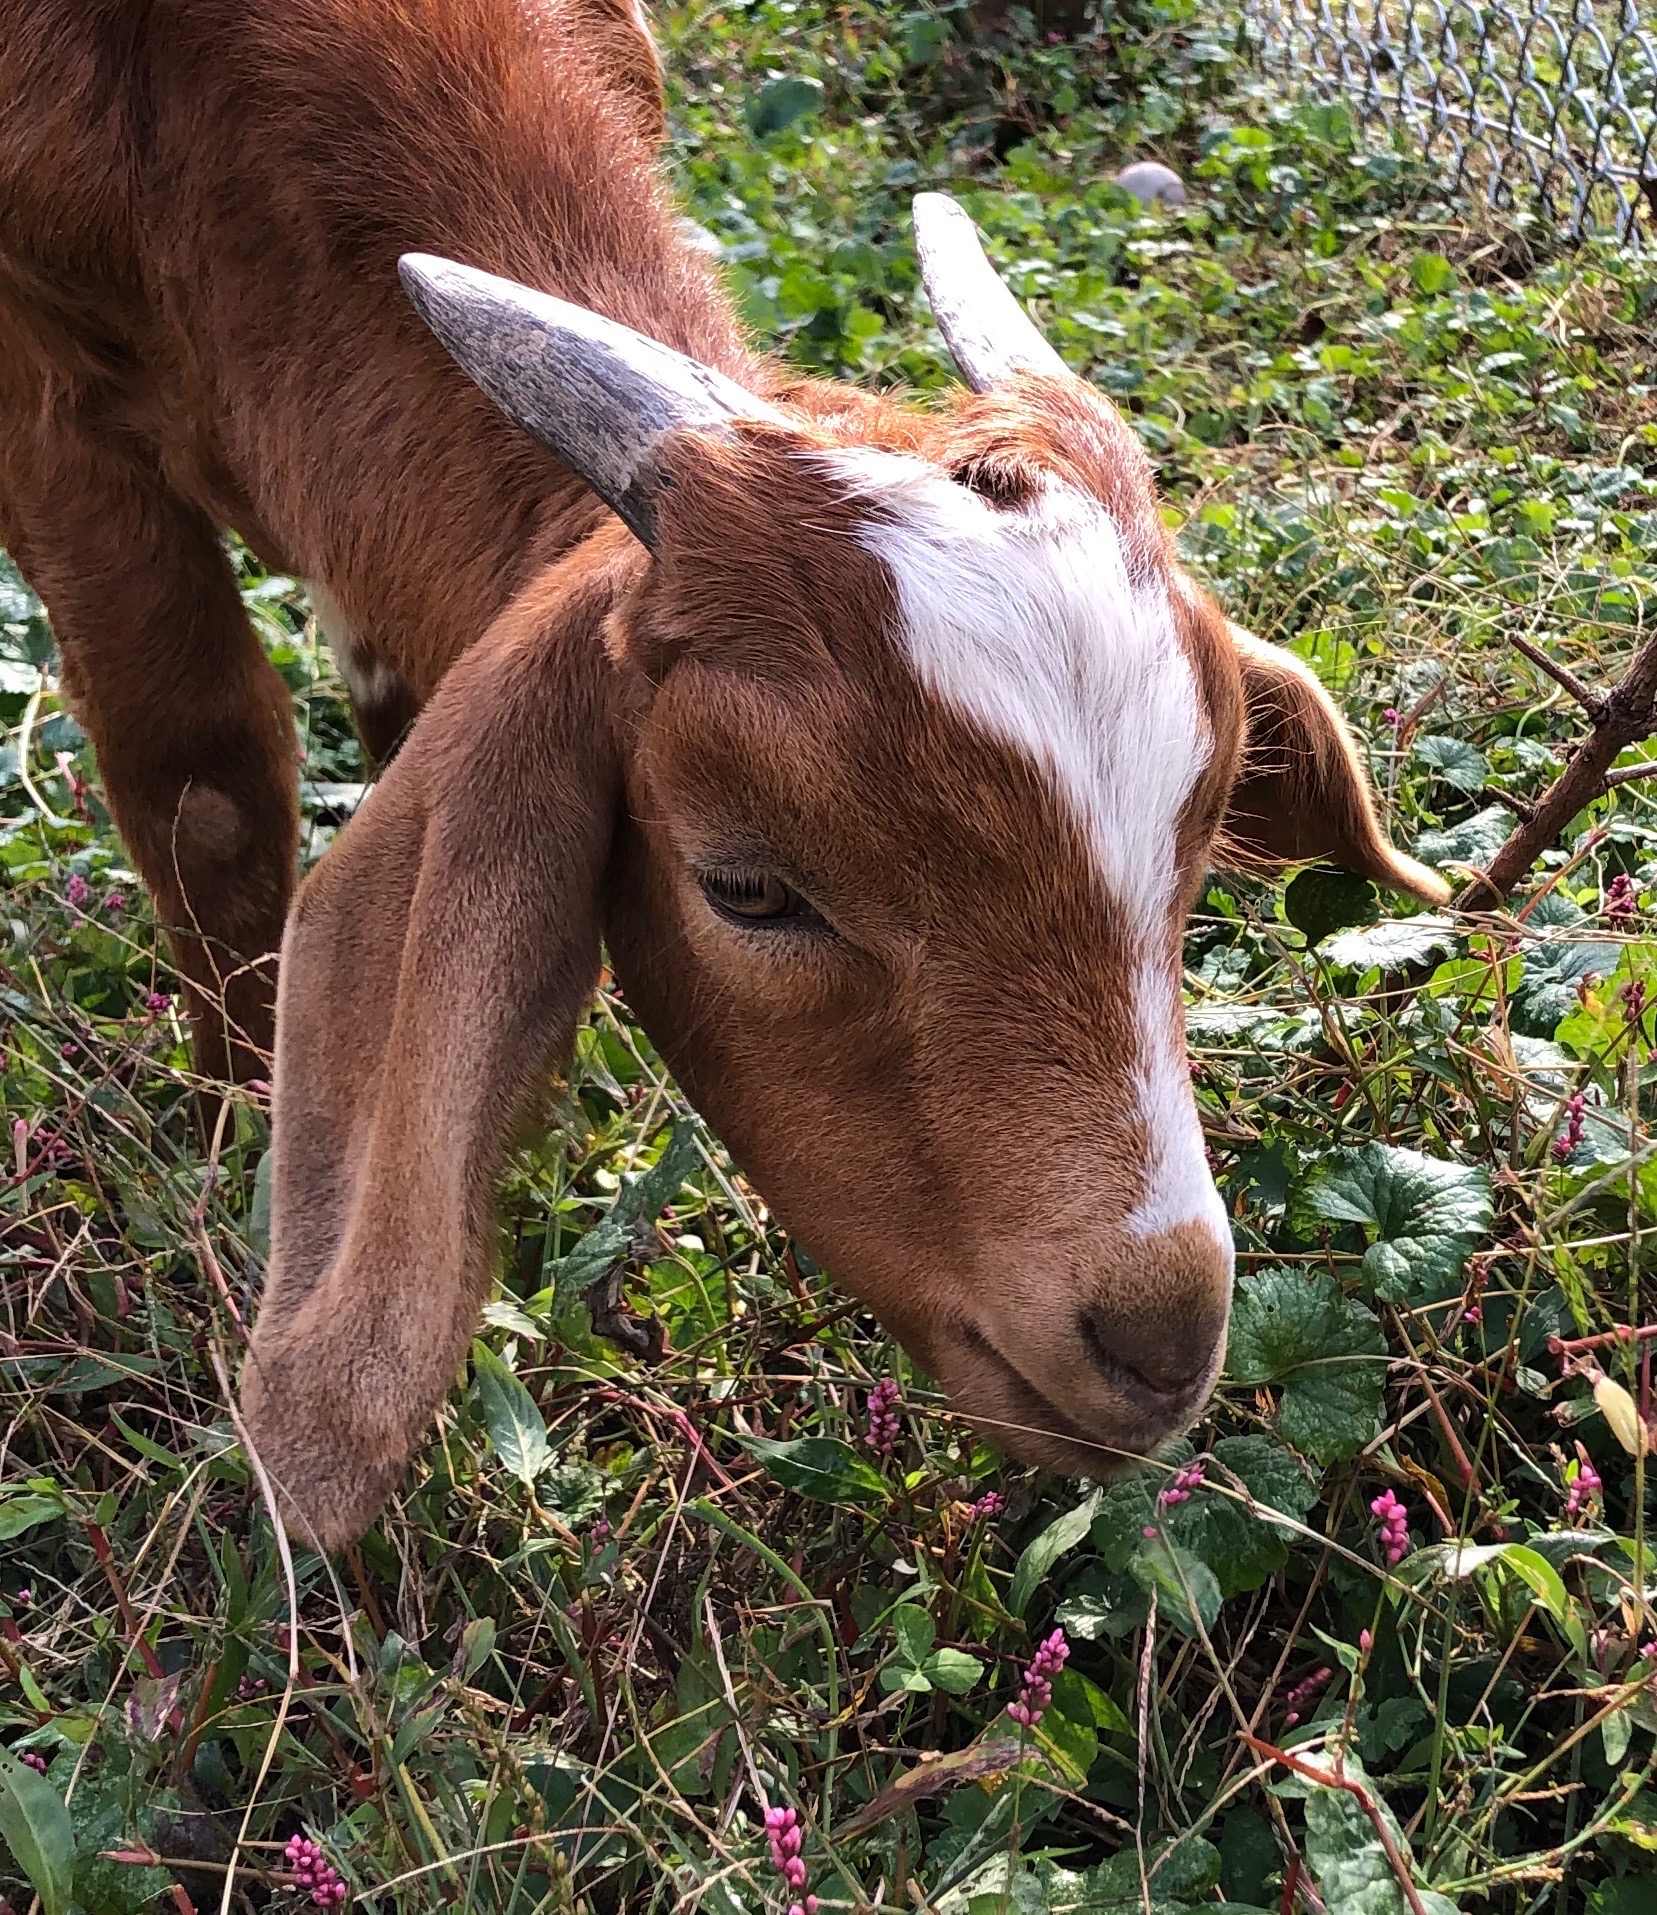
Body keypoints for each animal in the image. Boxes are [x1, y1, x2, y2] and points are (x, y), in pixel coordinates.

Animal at [0, 0, 1446, 1548]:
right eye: (746, 889)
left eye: (1192, 856)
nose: (1159, 1340)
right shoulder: (51, 400)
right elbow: (198, 775)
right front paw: (230, 1121)